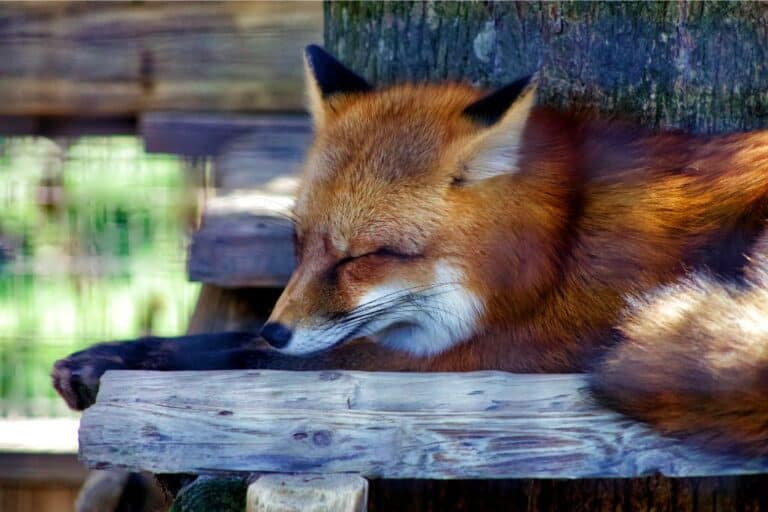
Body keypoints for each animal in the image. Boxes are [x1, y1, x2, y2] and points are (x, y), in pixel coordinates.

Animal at [54, 45, 768, 457]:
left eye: (360, 257)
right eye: (298, 243)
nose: (278, 327)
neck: (556, 245)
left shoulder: (469, 356)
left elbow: (240, 356)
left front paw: (118, 361)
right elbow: (233, 344)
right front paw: (110, 354)